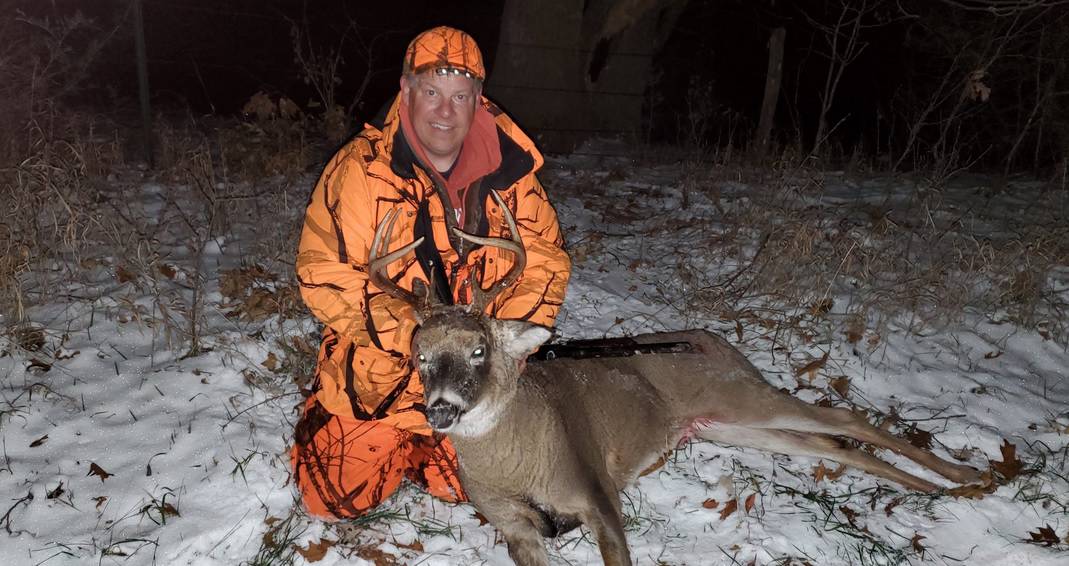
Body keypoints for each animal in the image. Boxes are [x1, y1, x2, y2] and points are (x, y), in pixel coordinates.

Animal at [368, 192, 982, 566]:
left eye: (479, 349)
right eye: (419, 355)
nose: (441, 409)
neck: (518, 458)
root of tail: (717, 341)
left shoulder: (596, 490)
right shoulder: (510, 522)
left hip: (735, 394)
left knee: (844, 415)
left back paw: (964, 476)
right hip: (723, 425)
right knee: (831, 443)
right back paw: (941, 486)